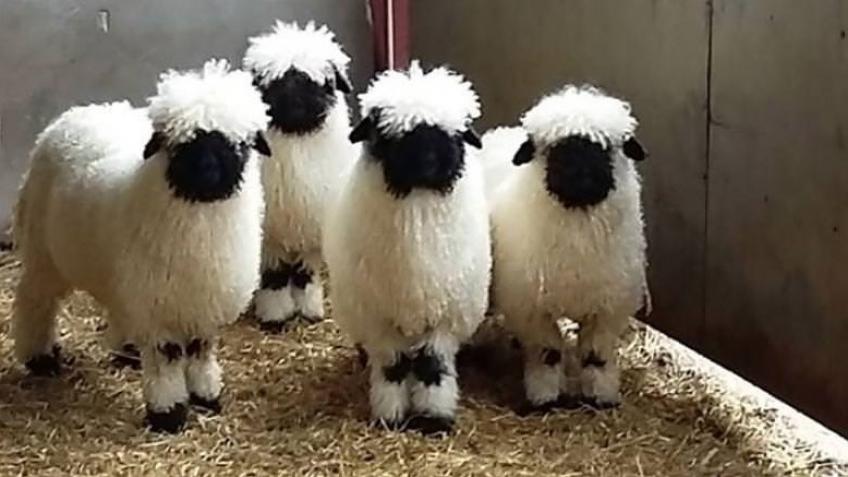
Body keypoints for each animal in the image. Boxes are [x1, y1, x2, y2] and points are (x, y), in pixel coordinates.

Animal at [11, 59, 270, 433]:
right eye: (180, 142)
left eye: (237, 143)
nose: (207, 170)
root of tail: (80, 112)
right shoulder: (158, 311)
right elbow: (166, 363)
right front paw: (168, 414)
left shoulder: (202, 305)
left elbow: (201, 353)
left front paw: (206, 398)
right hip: (43, 253)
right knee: (35, 301)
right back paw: (40, 358)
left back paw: (128, 350)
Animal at [242, 21, 357, 333]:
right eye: (275, 82)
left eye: (319, 82)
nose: (295, 102)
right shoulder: (270, 237)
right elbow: (275, 277)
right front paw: (274, 316)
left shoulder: (312, 231)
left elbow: (306, 274)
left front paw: (309, 310)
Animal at [323, 61, 490, 435]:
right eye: (390, 135)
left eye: (454, 134)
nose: (428, 161)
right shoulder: (381, 319)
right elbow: (393, 367)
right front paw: (390, 416)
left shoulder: (445, 317)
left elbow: (432, 367)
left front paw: (434, 418)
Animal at [485, 85, 648, 411]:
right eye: (554, 148)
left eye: (607, 147)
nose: (581, 173)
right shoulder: (533, 309)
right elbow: (548, 353)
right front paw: (544, 398)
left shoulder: (606, 309)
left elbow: (596, 357)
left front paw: (601, 397)